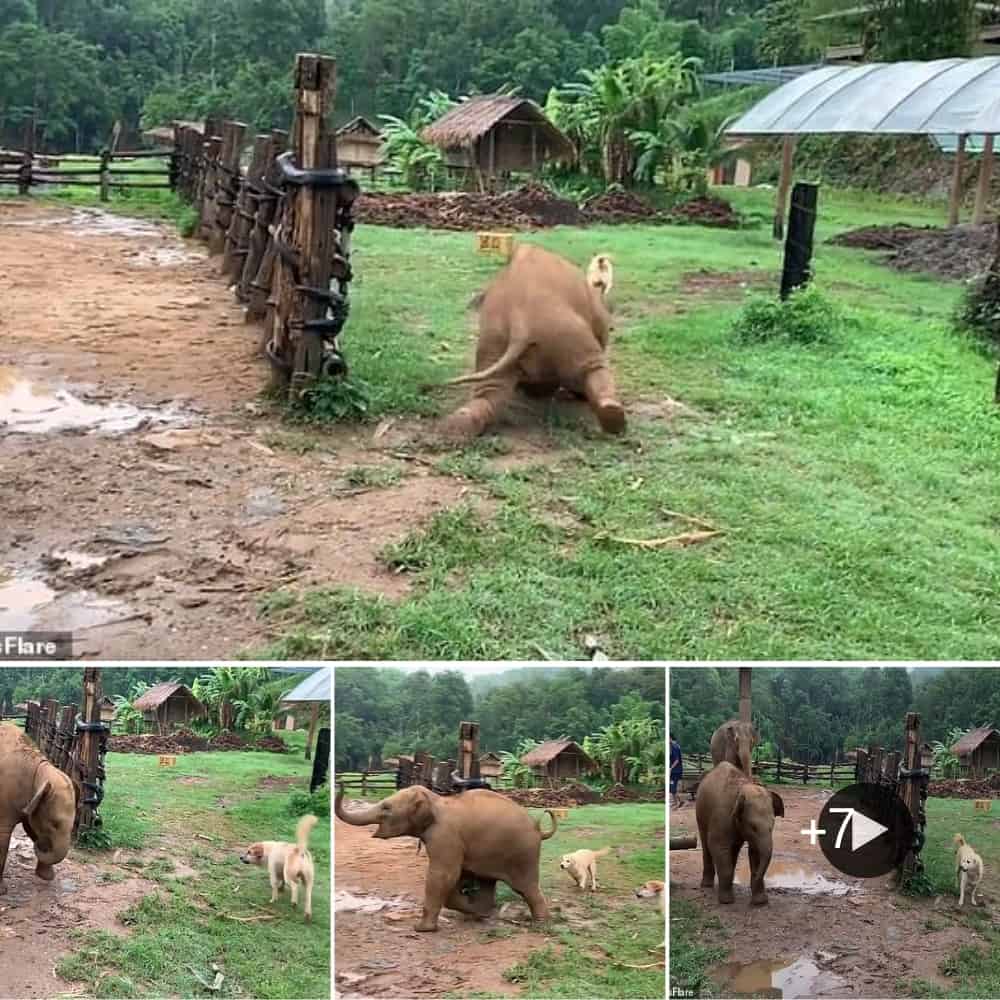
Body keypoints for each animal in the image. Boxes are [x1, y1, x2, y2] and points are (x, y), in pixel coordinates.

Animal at [335, 783, 557, 931]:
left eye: (386, 807)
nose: (341, 783)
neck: (435, 799)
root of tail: (539, 830)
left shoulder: (445, 836)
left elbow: (444, 875)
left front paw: (422, 929)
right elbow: (456, 876)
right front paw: (470, 909)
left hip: (523, 853)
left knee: (524, 886)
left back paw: (541, 922)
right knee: (487, 882)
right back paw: (482, 913)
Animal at [441, 244, 626, 438]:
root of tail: (520, 322)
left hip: (492, 337)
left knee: (490, 389)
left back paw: (453, 428)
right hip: (565, 329)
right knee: (594, 367)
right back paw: (614, 421)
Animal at [695, 761, 784, 906]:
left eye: (772, 826)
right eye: (753, 827)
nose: (756, 877)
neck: (742, 790)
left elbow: (756, 851)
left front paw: (760, 902)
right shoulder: (722, 816)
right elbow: (717, 845)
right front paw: (726, 901)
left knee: (733, 849)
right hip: (700, 813)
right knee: (706, 844)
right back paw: (707, 885)